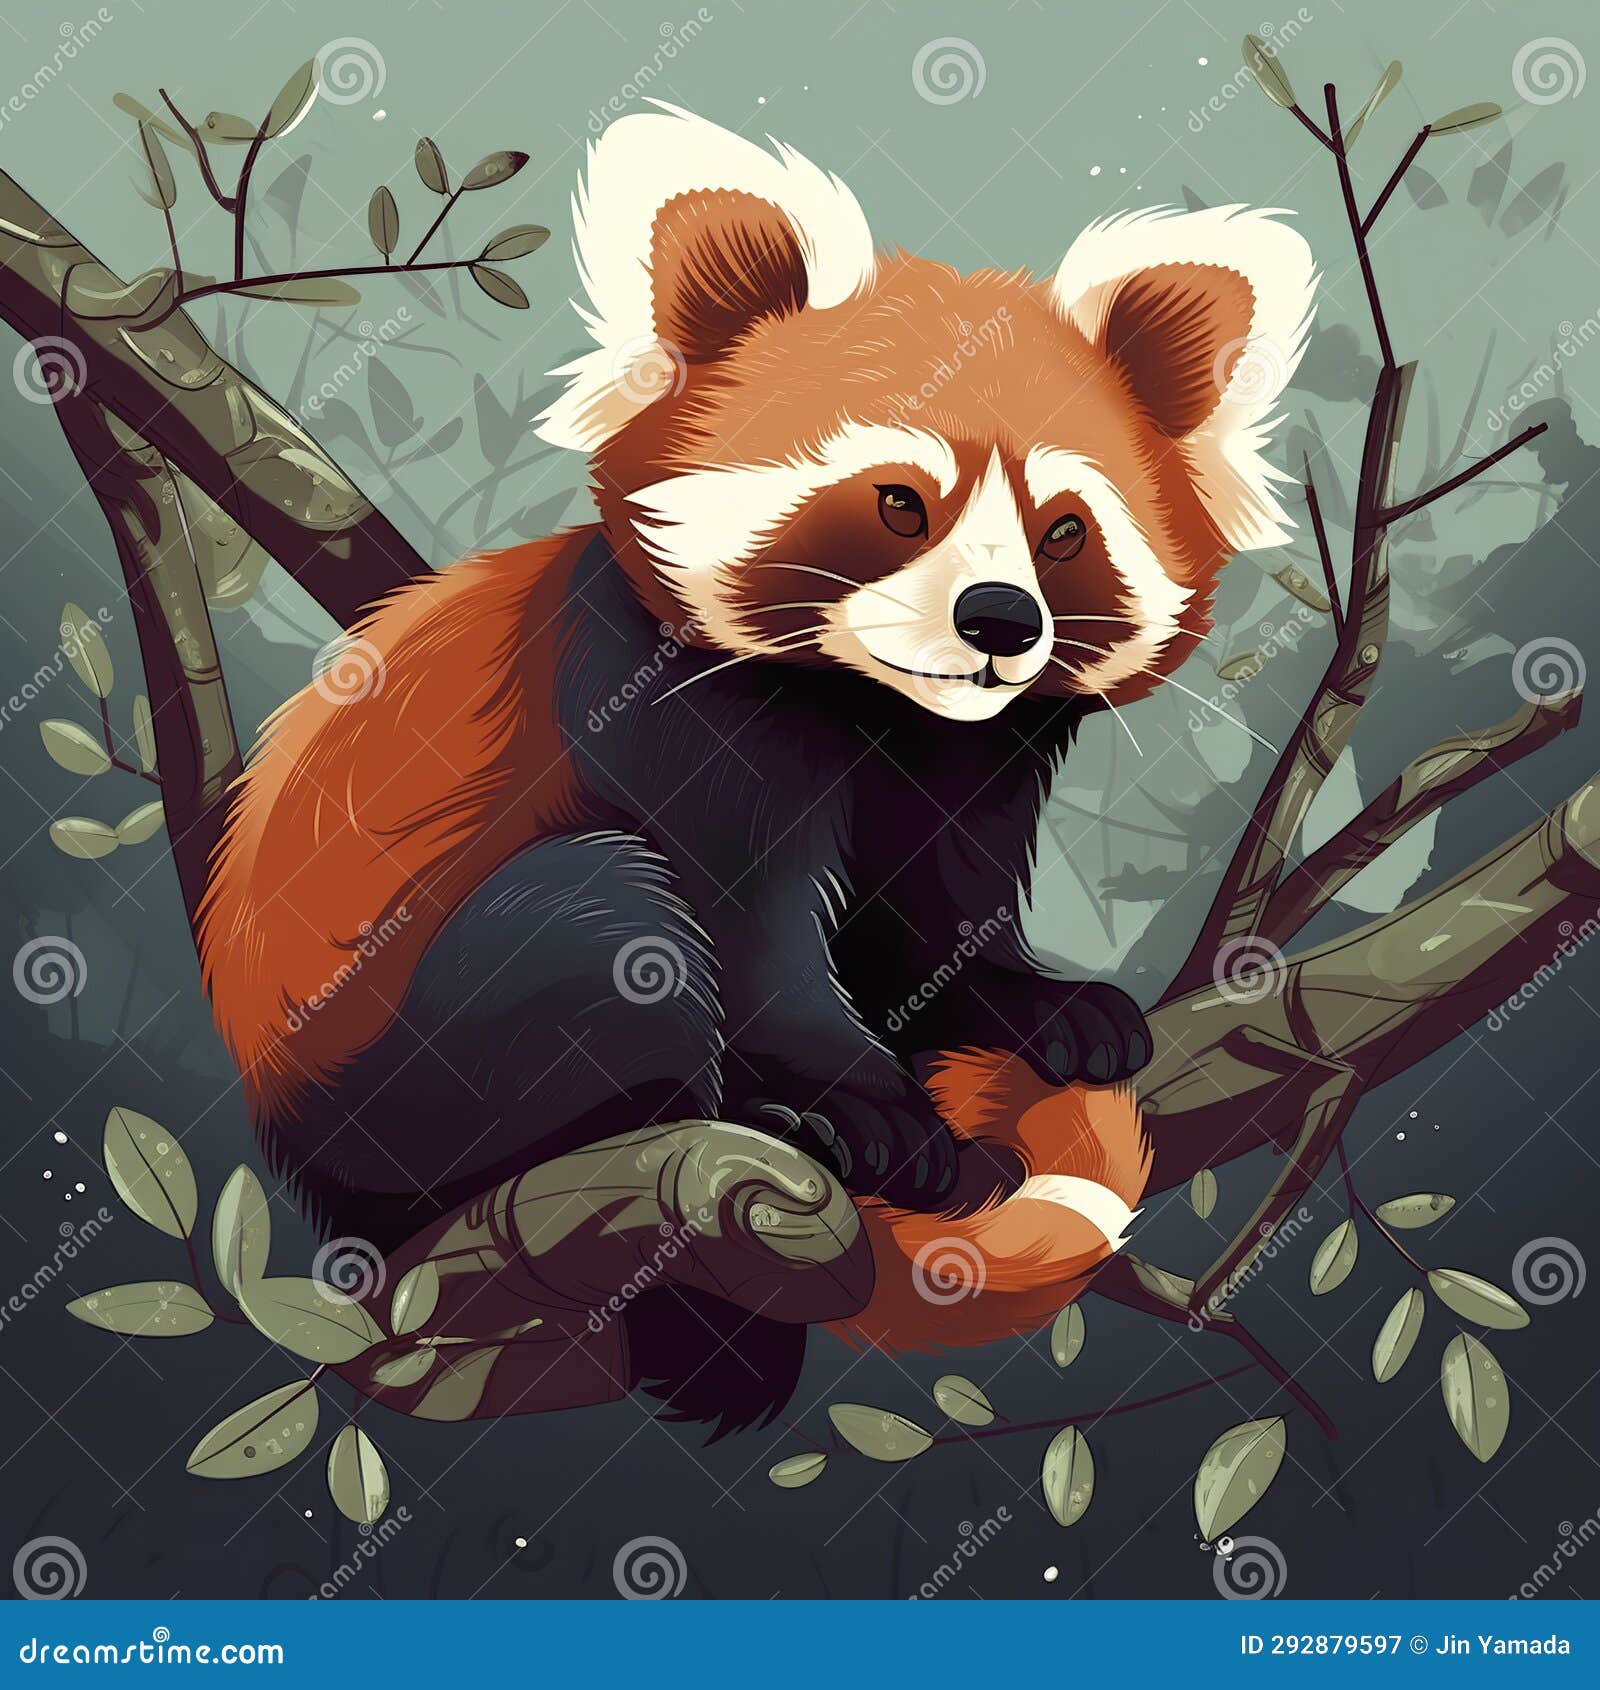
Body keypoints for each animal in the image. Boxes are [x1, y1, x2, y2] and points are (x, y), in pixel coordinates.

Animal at [199, 104, 1316, 1432]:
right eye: (900, 503)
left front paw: (1029, 1001)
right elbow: (746, 927)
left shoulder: (963, 763)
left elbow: (928, 912)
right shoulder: (663, 703)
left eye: (1063, 530)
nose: (1000, 622)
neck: (879, 710)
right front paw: (863, 1106)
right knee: (596, 922)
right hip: (385, 1060)